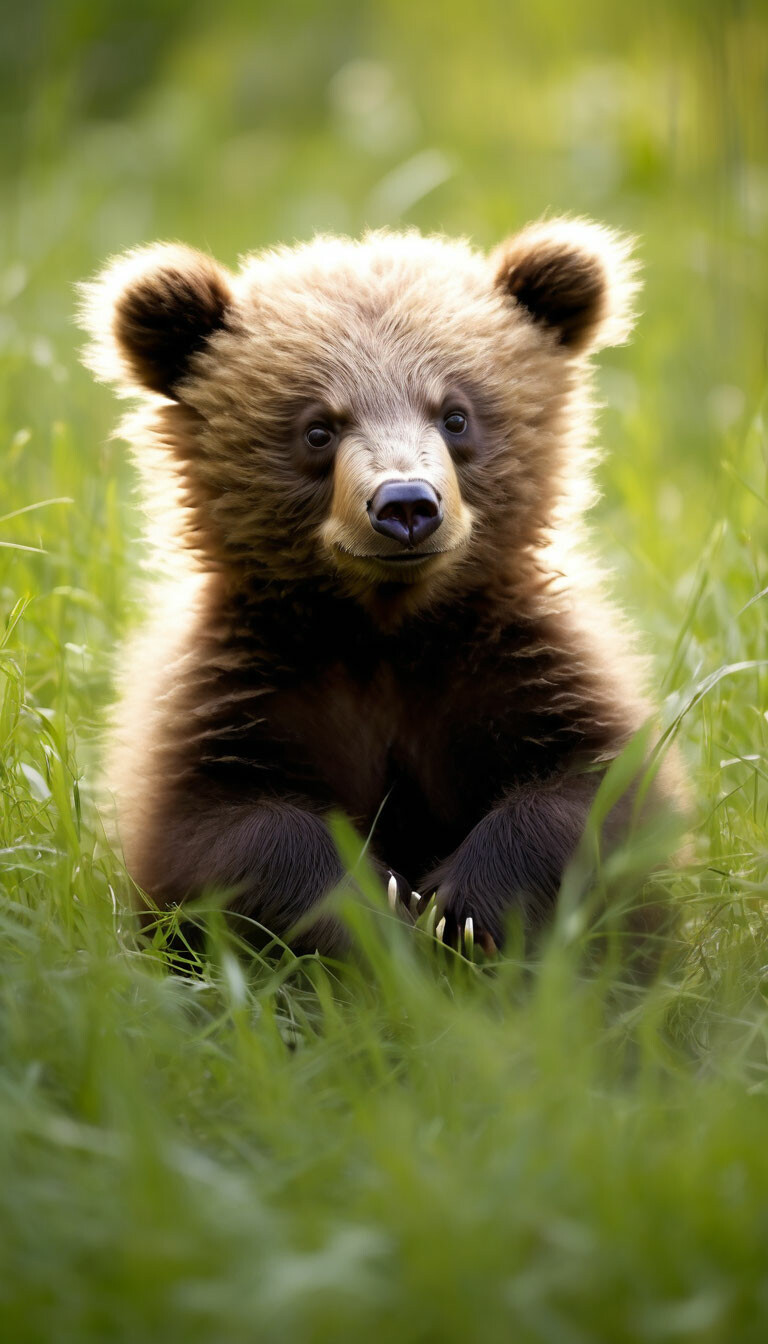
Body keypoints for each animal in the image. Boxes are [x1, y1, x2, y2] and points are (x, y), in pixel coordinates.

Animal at [80, 219, 679, 955]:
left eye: (455, 415)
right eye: (317, 427)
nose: (406, 505)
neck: (384, 630)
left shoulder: (521, 668)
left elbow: (596, 796)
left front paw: (463, 911)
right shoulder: (241, 691)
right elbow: (216, 829)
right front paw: (372, 909)